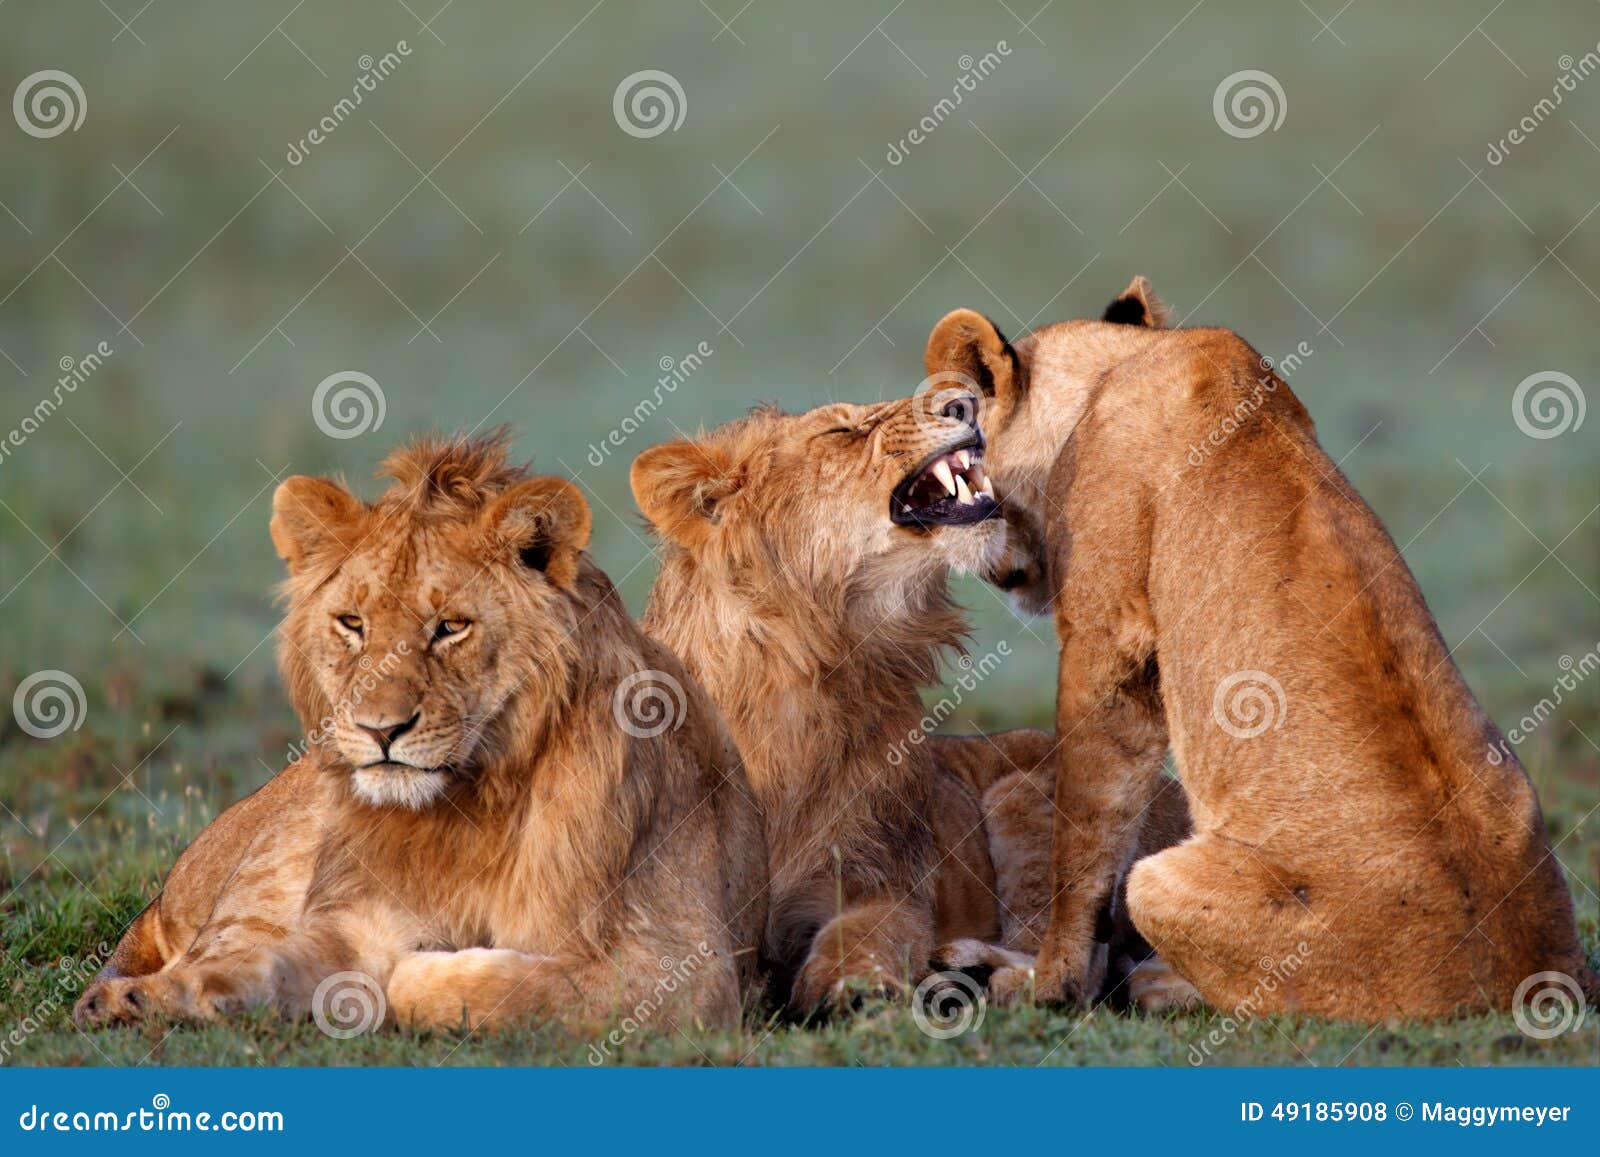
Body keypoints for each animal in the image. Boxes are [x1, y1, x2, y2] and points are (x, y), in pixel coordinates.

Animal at [75, 432, 767, 1034]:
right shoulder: (353, 918)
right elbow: (280, 963)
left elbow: (488, 986)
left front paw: (424, 972)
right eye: (352, 623)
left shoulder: (686, 966)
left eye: (451, 627)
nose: (381, 728)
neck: (469, 807)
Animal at [630, 391, 1191, 1014]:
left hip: (1024, 794)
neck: (808, 670)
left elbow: (868, 934)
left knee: (1077, 967)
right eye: (842, 432)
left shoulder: (882, 878)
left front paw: (854, 989)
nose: (963, 400)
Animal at [922, 277, 1599, 1019]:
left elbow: (1084, 840)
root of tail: (1541, 977)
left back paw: (1122, 979)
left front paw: (1049, 983)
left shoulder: (1108, 643)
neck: (1113, 370)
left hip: (1158, 879)